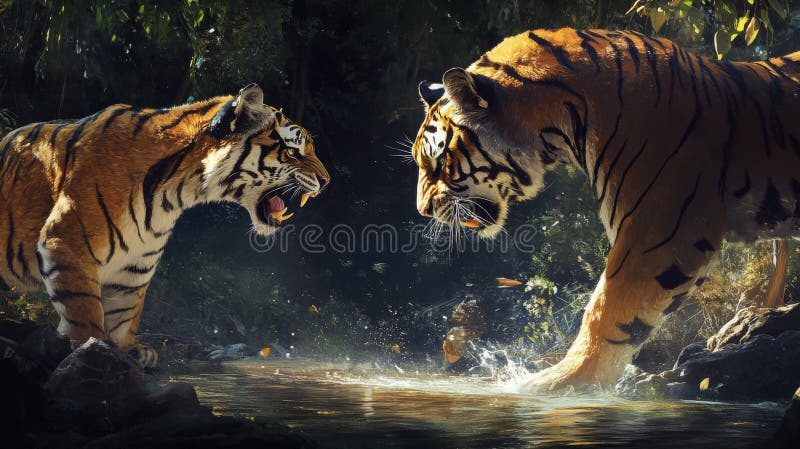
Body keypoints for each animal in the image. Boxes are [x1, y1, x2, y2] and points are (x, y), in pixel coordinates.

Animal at [0, 84, 330, 367]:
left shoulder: (135, 267)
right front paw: (92, 350)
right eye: (294, 151)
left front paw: (127, 351)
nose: (326, 181)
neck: (176, 193)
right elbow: (85, 312)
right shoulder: (66, 243)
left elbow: (123, 314)